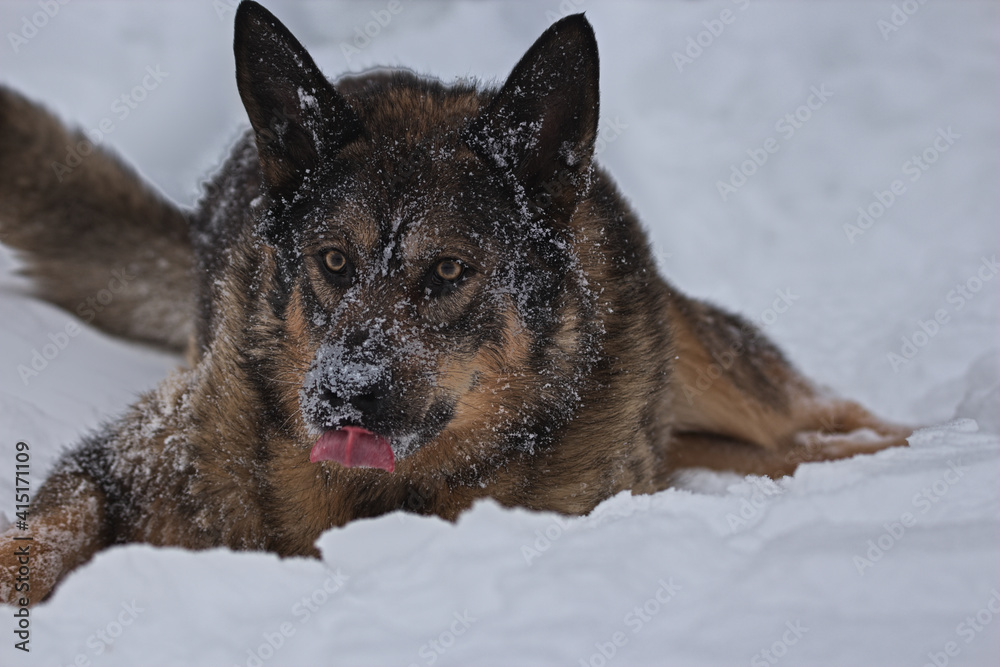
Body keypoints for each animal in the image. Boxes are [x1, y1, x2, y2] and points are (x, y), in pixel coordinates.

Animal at [0, 2, 909, 605]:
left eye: (445, 271)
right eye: (333, 260)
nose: (341, 394)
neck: (381, 497)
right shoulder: (130, 462)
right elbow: (46, 529)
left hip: (714, 371)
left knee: (823, 416)